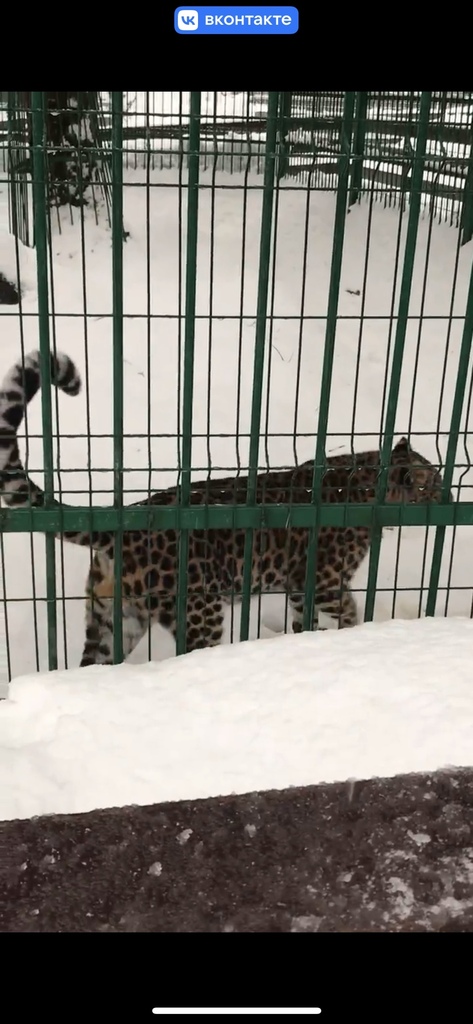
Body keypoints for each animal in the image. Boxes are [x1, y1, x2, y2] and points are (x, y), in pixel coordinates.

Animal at [0, 349, 451, 666]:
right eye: (434, 484)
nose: (449, 498)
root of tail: (126, 524)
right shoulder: (323, 579)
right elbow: (349, 610)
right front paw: (354, 637)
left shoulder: (300, 587)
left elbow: (304, 621)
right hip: (198, 610)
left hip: (115, 618)